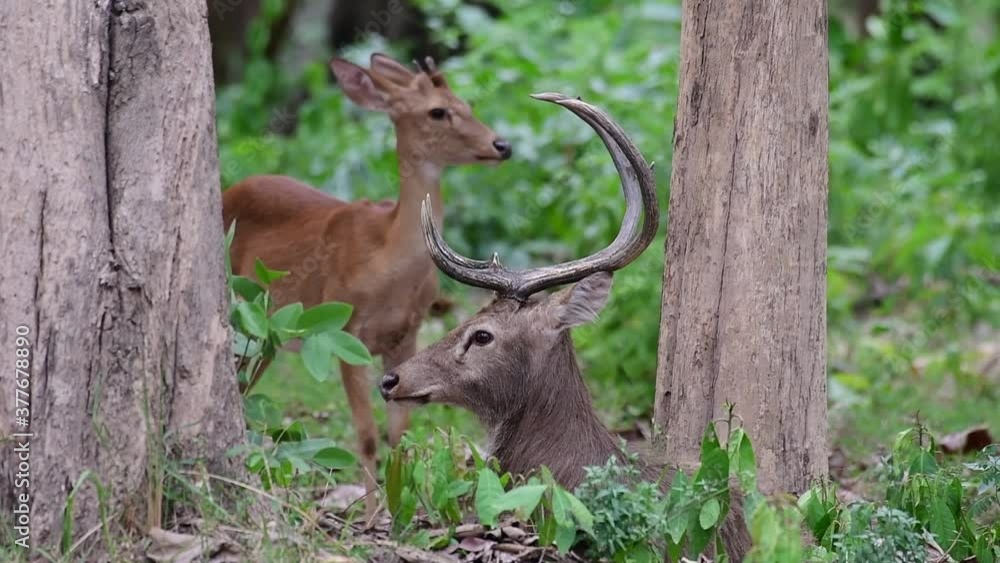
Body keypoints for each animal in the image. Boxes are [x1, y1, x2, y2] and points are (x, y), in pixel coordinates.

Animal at [222, 53, 512, 516]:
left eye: (465, 103)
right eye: (437, 111)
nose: (501, 145)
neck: (386, 258)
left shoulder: (406, 336)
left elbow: (398, 433)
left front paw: (396, 508)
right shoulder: (345, 333)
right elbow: (367, 435)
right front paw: (372, 512)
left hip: (266, 335)